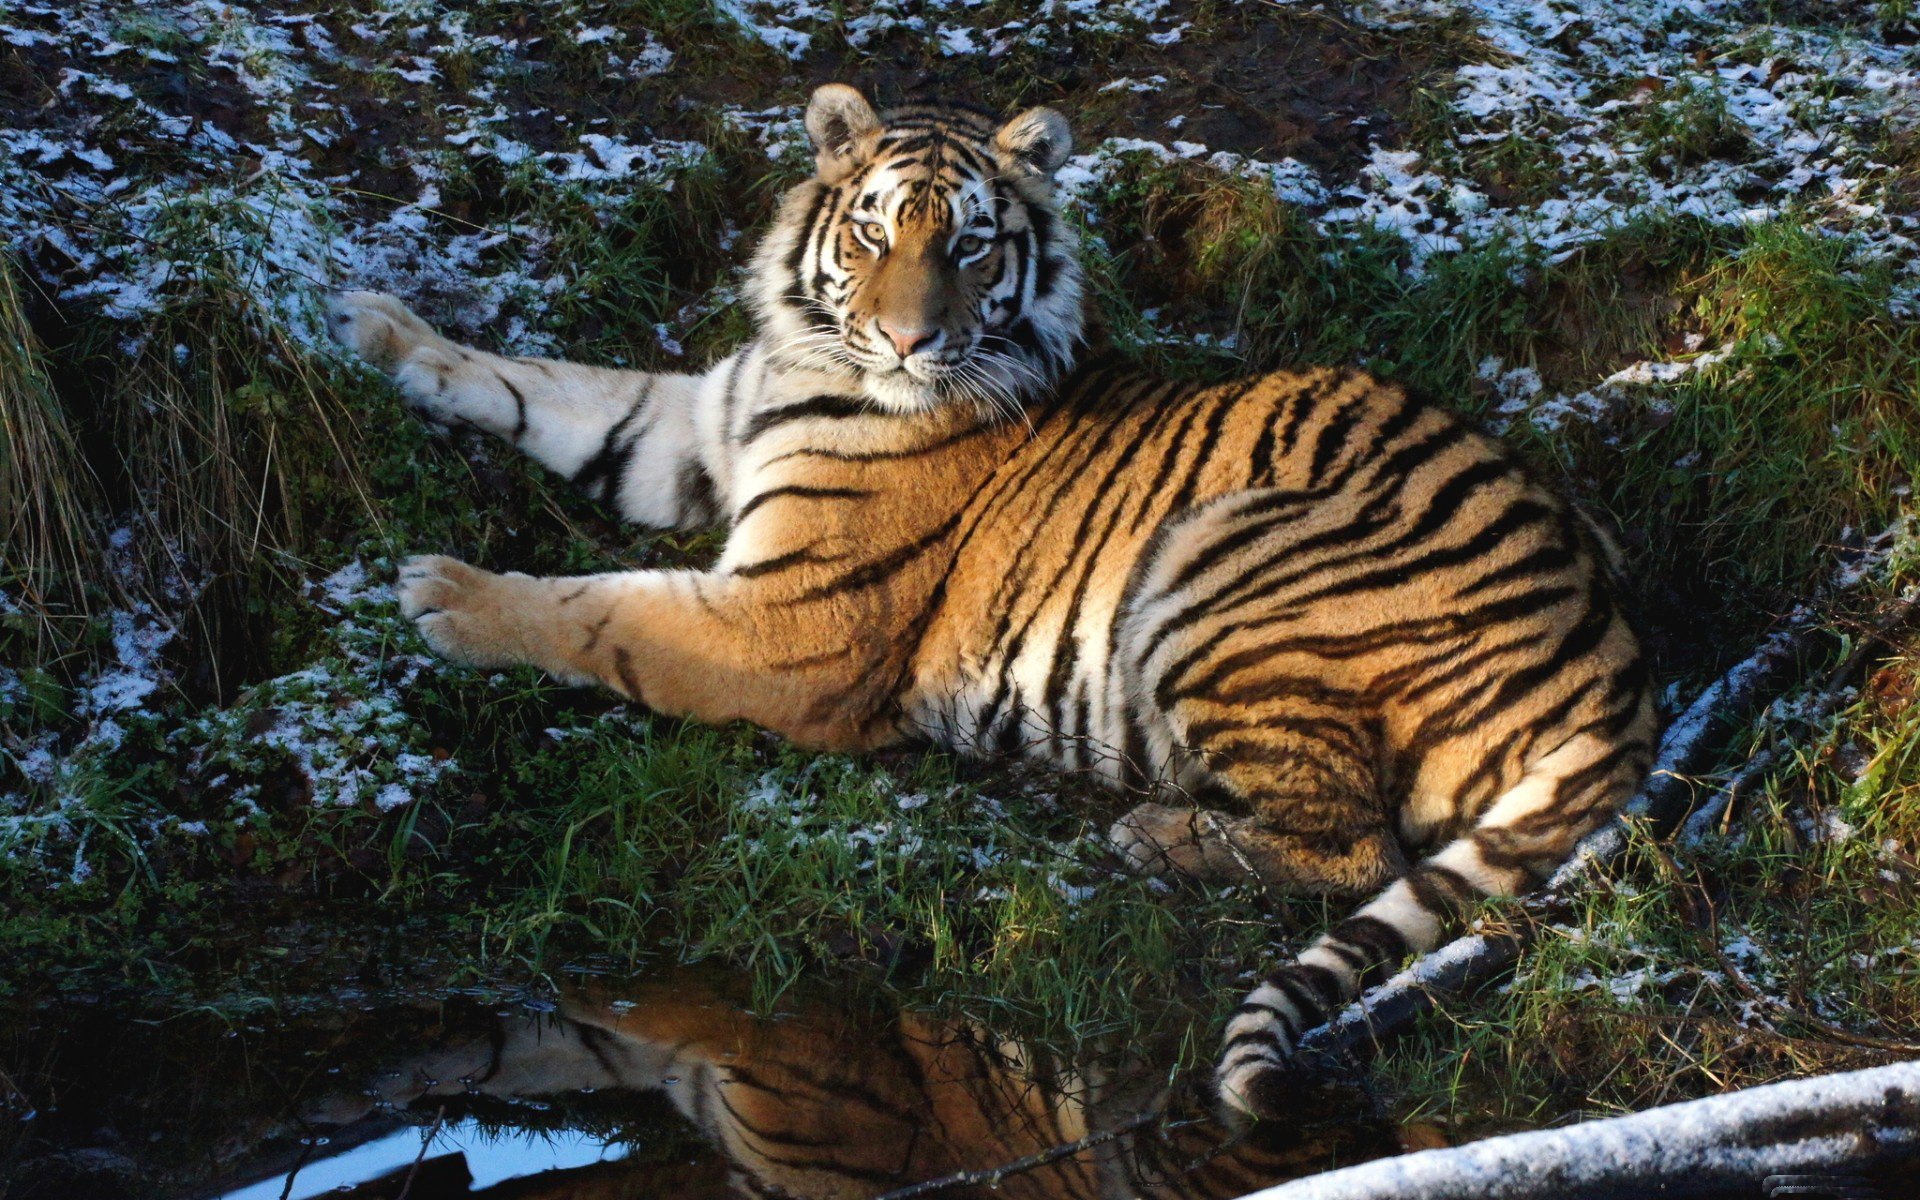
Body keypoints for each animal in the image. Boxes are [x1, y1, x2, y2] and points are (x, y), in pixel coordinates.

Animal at [328, 82, 1657, 1121]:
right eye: (873, 237)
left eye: (971, 248)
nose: (911, 343)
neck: (809, 358)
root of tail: (1619, 655)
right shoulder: (688, 431)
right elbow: (543, 383)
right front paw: (382, 329)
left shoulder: (790, 627)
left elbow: (607, 613)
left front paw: (446, 595)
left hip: (1219, 557)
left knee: (1355, 841)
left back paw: (1151, 833)